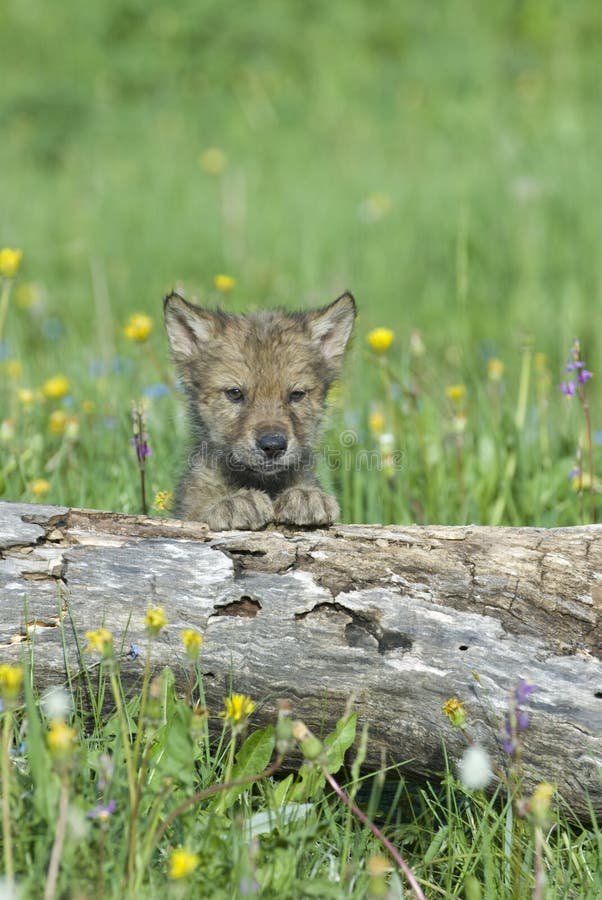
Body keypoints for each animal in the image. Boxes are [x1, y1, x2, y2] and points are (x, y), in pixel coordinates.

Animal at [164, 290, 356, 530]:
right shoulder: (187, 510)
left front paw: (305, 495)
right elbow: (198, 511)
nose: (273, 446)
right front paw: (235, 502)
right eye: (235, 393)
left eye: (296, 394)